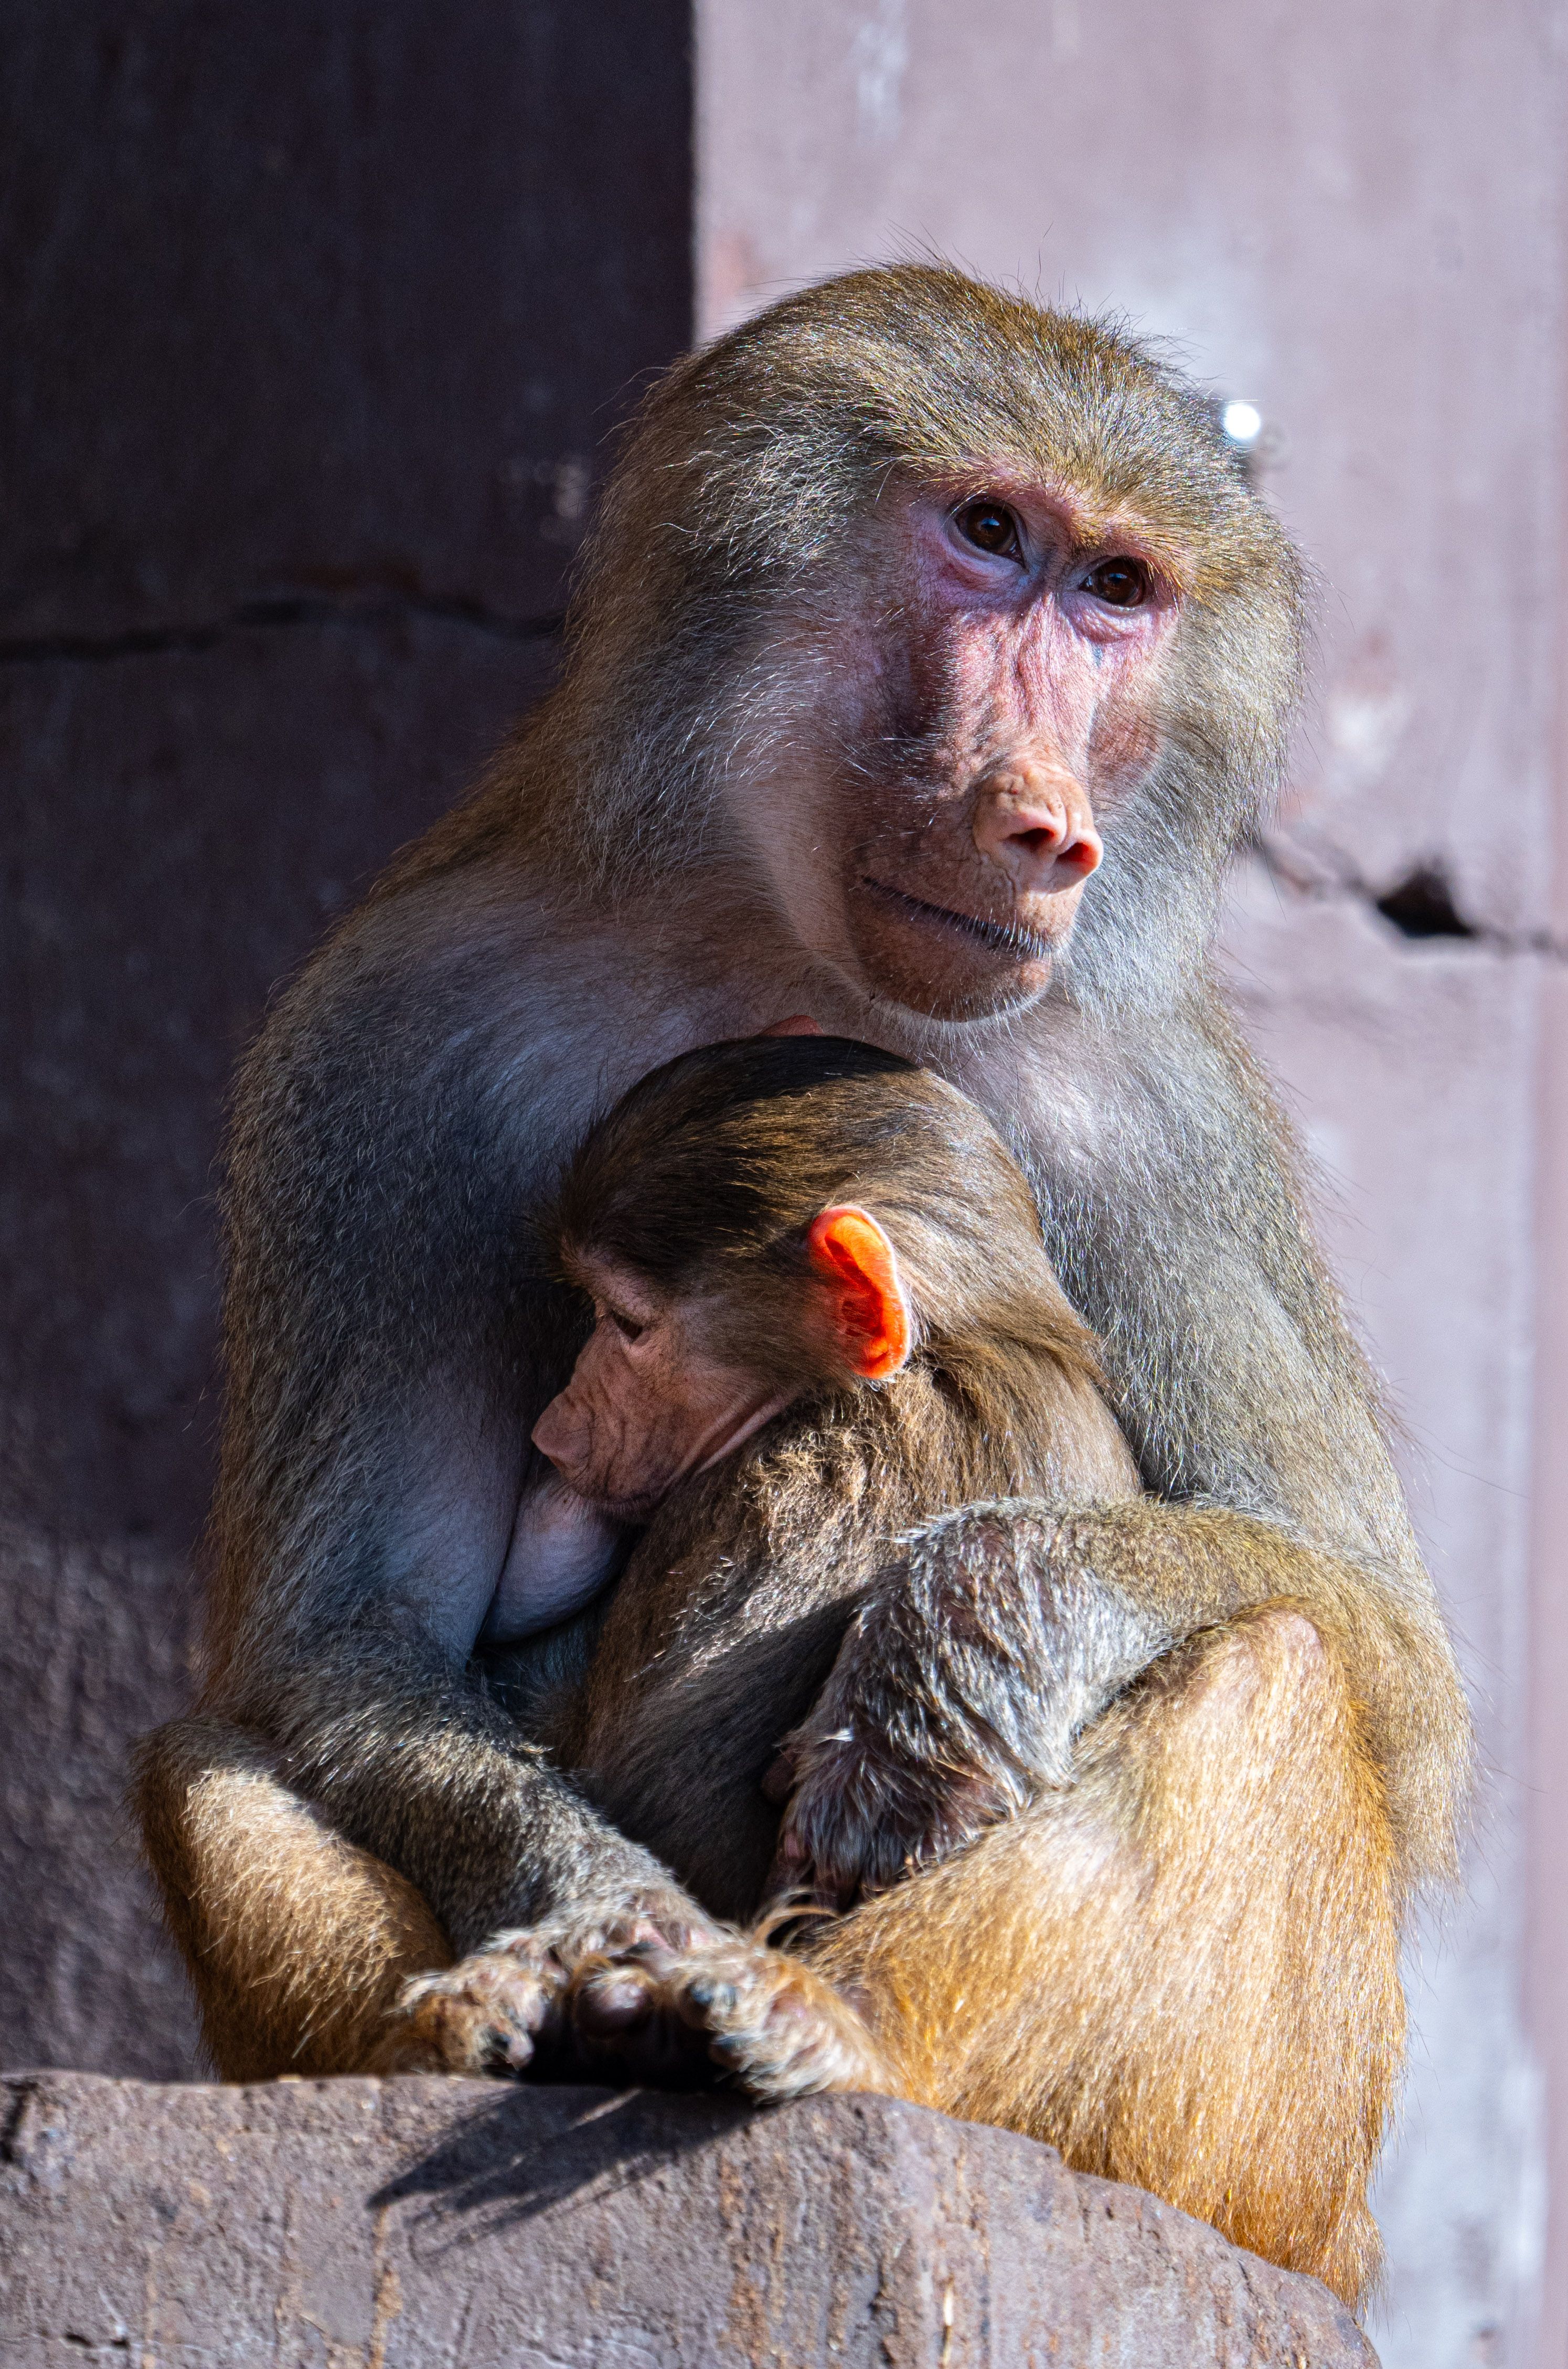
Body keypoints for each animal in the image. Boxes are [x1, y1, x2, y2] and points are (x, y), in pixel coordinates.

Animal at [132, 263, 1470, 2306]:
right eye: (987, 537)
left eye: (1118, 588)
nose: (1044, 824)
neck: (780, 937)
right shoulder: (392, 1031)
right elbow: (349, 1626)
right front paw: (591, 1918)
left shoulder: (1148, 1113)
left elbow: (1385, 1657)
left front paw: (954, 1640)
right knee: (218, 1741)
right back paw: (489, 2022)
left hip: (1267, 2178)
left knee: (1270, 1665)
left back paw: (845, 2027)